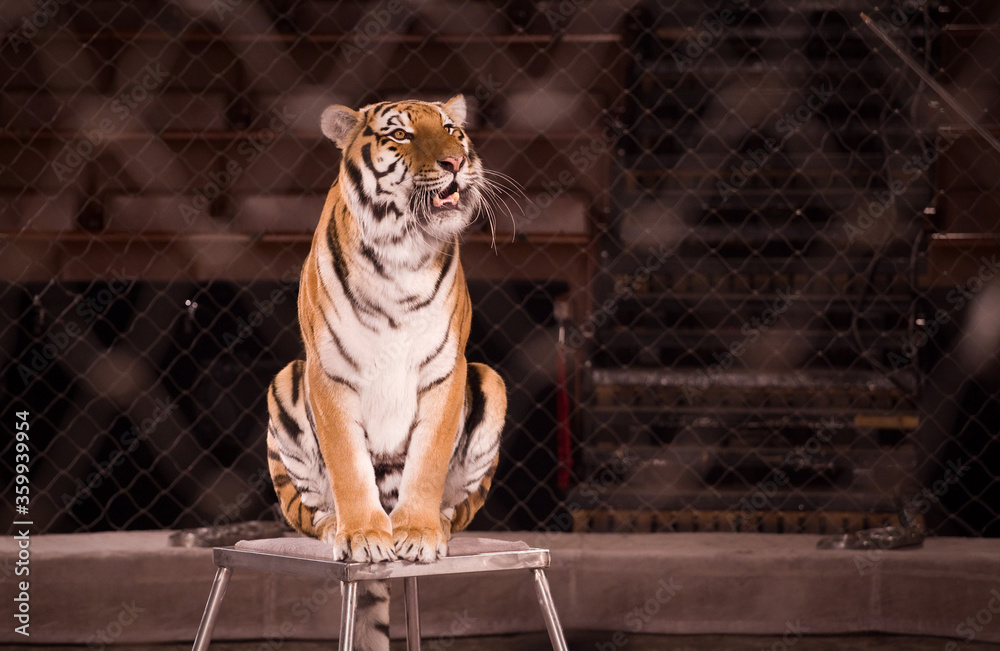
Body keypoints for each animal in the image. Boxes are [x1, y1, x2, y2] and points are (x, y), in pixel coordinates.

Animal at [264, 95, 507, 650]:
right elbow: (348, 463)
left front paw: (417, 532)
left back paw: (435, 523)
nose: (455, 163)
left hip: (491, 380)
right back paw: (339, 525)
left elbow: (428, 459)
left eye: (451, 130)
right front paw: (361, 536)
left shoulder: (445, 371)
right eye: (400, 135)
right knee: (314, 511)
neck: (404, 248)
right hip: (285, 380)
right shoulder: (329, 373)